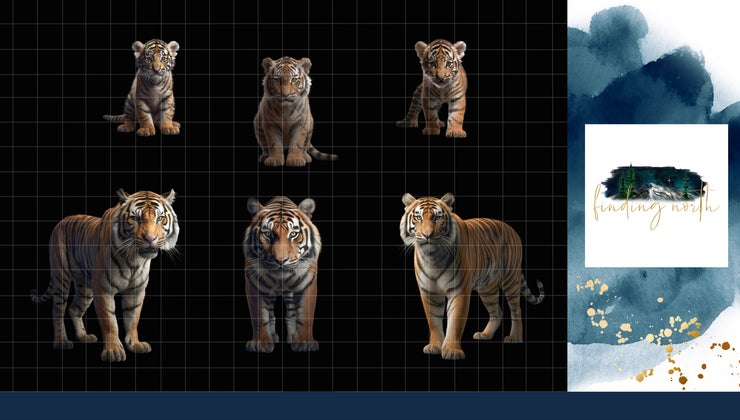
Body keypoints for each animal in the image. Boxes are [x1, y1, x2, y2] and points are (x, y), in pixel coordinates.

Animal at [31, 189, 179, 362]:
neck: (134, 259)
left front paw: (135, 344)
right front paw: (113, 351)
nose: (150, 239)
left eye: (160, 218)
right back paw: (62, 342)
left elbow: (133, 319)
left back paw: (83, 336)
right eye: (135, 218)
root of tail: (62, 221)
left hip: (85, 287)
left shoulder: (136, 291)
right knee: (57, 311)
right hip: (62, 278)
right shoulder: (103, 290)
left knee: (74, 309)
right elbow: (109, 322)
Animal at [243, 196, 322, 352]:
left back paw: (291, 336)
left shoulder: (308, 283)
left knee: (292, 312)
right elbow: (259, 315)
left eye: (293, 234)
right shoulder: (254, 283)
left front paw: (304, 342)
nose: (281, 260)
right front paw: (261, 343)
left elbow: (305, 314)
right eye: (267, 234)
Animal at [400, 193, 544, 360]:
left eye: (437, 218)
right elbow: (434, 322)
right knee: (497, 312)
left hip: (510, 279)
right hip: (487, 288)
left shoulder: (459, 290)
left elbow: (455, 321)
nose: (427, 235)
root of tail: (512, 230)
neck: (432, 257)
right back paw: (485, 334)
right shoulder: (429, 292)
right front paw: (435, 346)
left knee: (516, 310)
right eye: (418, 217)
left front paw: (452, 351)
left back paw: (514, 337)